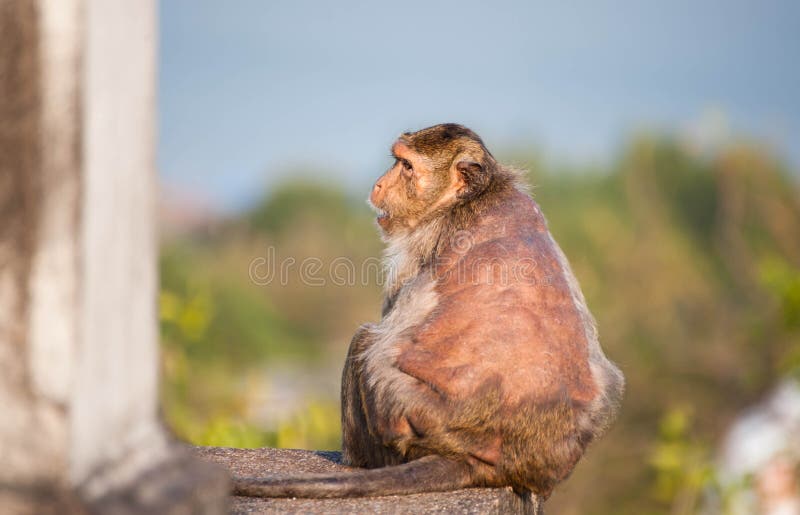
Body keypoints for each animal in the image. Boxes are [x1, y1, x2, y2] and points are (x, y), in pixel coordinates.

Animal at [233, 123, 624, 502]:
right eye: (397, 162)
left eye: (407, 167)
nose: (378, 184)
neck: (476, 196)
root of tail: (483, 461)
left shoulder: (421, 242)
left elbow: (383, 339)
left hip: (404, 435)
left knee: (366, 342)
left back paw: (355, 459)